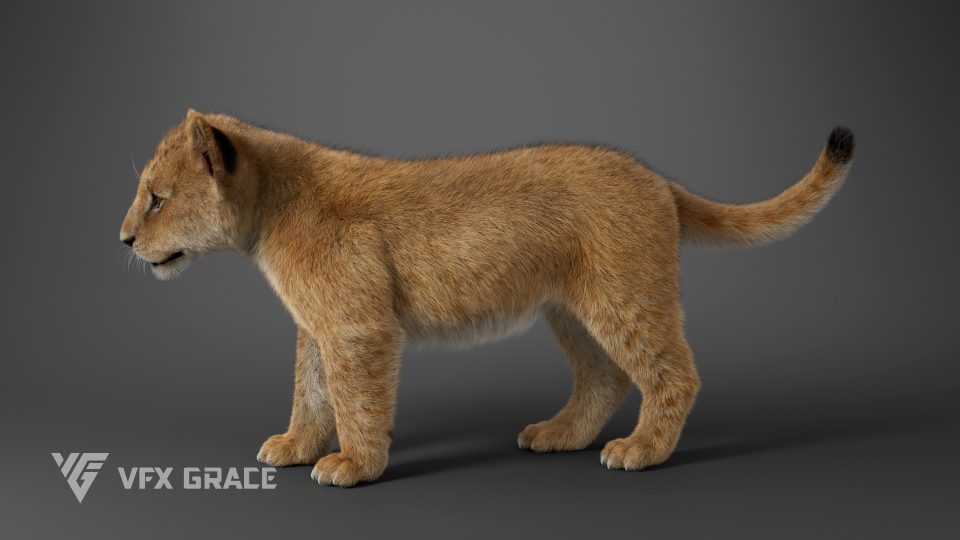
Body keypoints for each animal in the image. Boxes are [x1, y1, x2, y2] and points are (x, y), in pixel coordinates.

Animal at [120, 109, 854, 486]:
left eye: (156, 198)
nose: (122, 238)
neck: (267, 214)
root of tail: (654, 176)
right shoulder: (320, 326)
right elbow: (312, 389)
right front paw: (297, 444)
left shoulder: (358, 326)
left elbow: (354, 399)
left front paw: (354, 464)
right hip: (572, 310)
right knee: (606, 377)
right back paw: (559, 435)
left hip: (622, 297)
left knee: (672, 374)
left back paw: (641, 450)